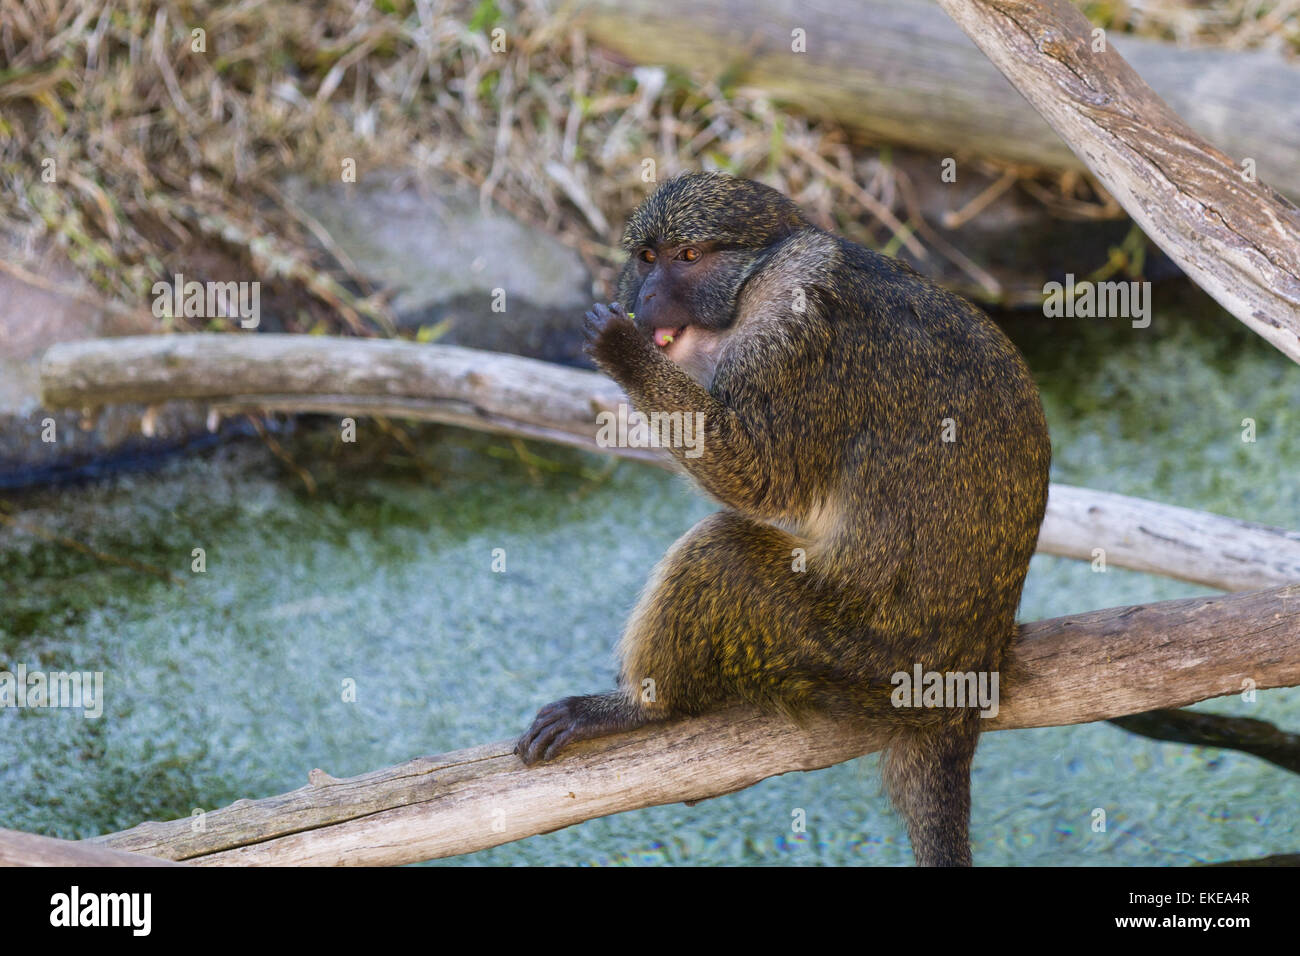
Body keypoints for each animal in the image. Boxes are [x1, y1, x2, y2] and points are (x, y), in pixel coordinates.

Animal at [515, 172, 1051, 866]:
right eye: (647, 258)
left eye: (689, 257)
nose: (649, 297)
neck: (755, 277)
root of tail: (963, 687)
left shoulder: (791, 328)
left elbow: (766, 480)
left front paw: (624, 353)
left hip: (844, 660)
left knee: (720, 551)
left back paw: (647, 710)